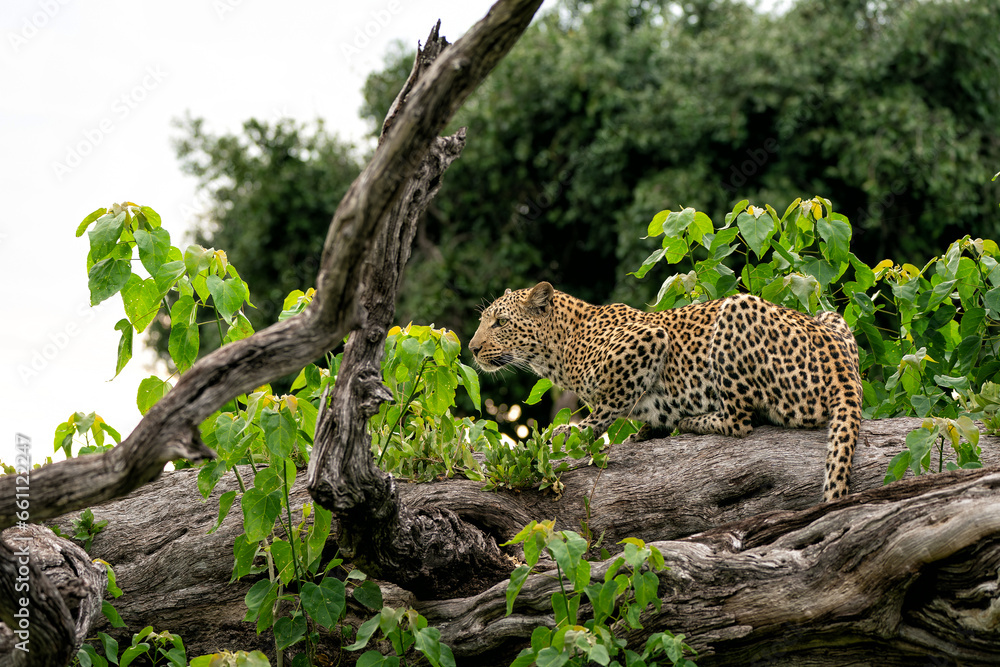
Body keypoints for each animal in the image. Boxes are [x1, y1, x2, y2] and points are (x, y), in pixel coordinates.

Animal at [469, 281, 863, 501]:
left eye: (500, 322)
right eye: (482, 320)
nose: (472, 349)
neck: (559, 350)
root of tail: (845, 372)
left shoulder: (649, 339)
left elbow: (611, 403)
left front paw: (577, 431)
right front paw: (645, 432)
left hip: (737, 307)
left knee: (740, 422)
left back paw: (695, 421)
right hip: (833, 318)